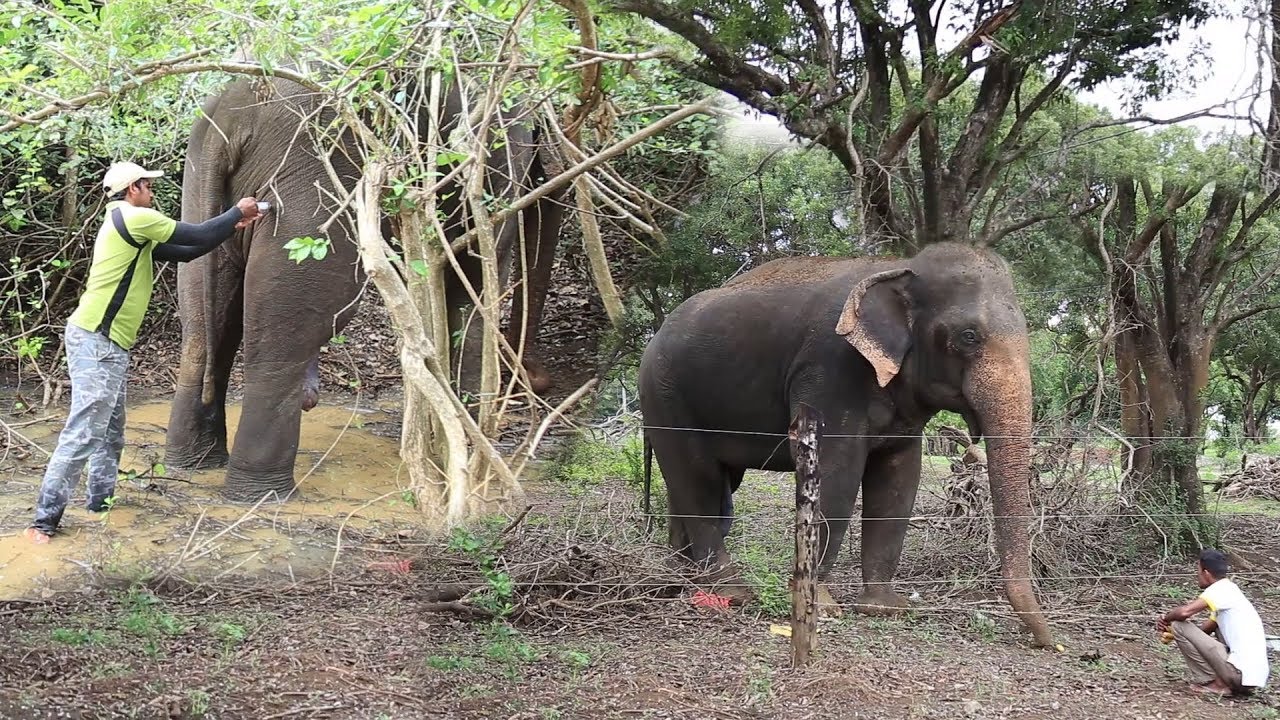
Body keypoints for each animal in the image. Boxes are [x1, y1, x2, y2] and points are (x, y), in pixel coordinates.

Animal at [164, 74, 565, 501]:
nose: (538, 380)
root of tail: (231, 111)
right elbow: (469, 273)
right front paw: (469, 442)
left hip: (199, 187)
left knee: (202, 326)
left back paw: (192, 464)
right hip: (315, 176)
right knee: (283, 338)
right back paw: (264, 494)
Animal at [638, 242, 1054, 647]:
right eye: (969, 337)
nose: (1046, 642)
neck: (900, 265)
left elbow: (899, 478)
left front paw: (886, 607)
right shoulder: (829, 371)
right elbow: (838, 472)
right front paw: (821, 605)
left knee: (703, 483)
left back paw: (679, 579)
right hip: (664, 396)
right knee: (697, 478)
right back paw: (731, 592)